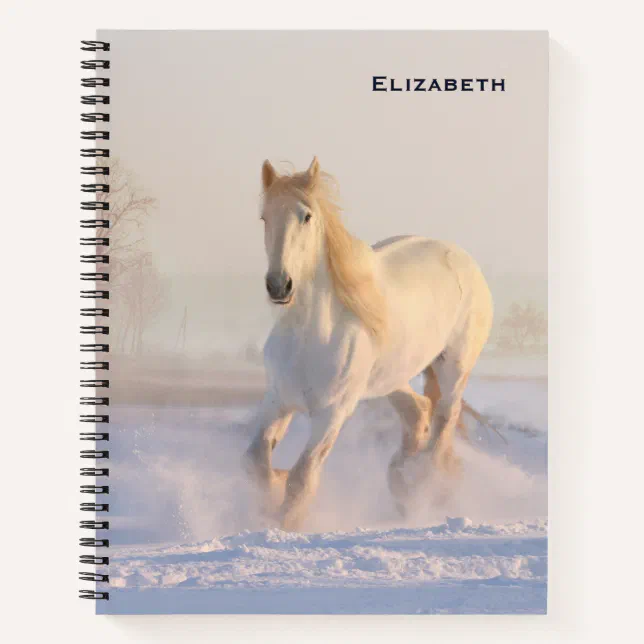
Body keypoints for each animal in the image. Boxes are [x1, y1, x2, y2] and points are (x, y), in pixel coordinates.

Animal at [244, 157, 493, 531]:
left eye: (306, 216)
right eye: (264, 217)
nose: (279, 285)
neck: (310, 336)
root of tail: (463, 258)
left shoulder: (333, 412)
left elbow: (302, 477)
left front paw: (285, 522)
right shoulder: (278, 399)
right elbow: (256, 462)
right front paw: (272, 492)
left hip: (454, 368)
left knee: (444, 421)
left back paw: (420, 485)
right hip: (390, 378)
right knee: (418, 411)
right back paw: (401, 481)